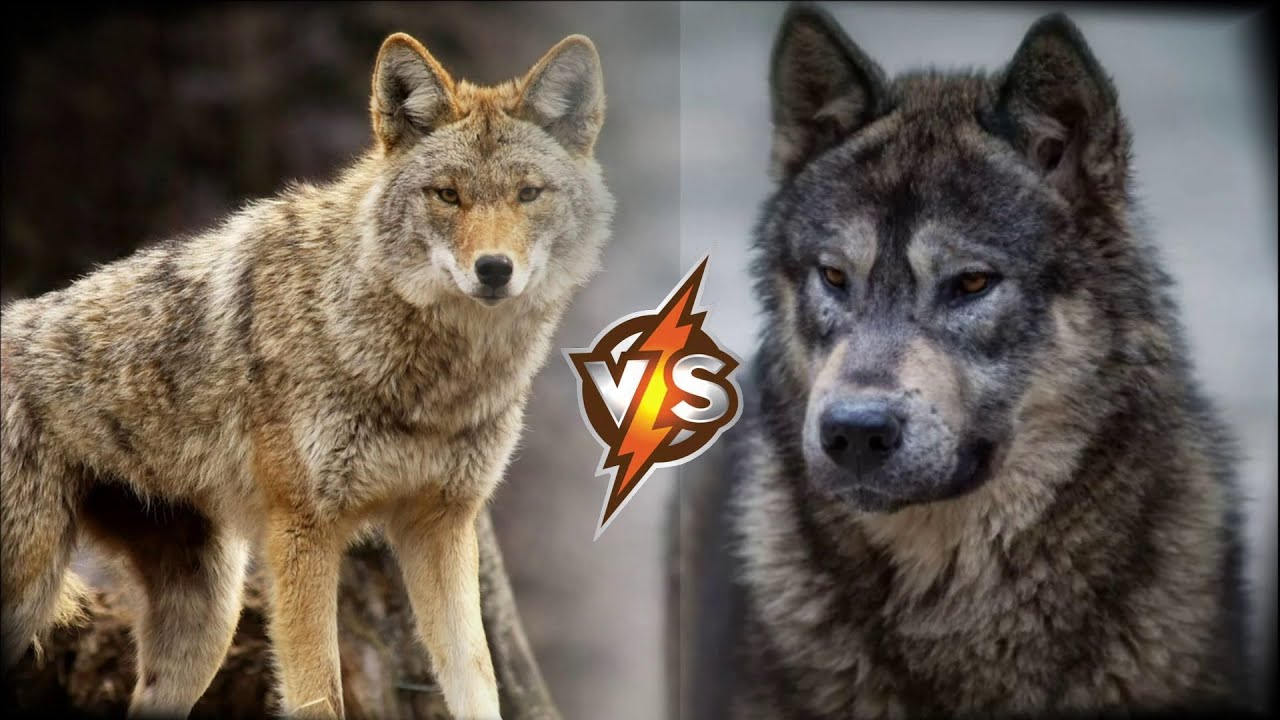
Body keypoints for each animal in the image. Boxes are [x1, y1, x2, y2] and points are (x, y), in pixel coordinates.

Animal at [1, 30, 612, 719]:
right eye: (447, 195)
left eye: (528, 194)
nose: (493, 269)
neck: (432, 387)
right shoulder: (304, 532)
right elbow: (320, 695)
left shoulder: (441, 526)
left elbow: (478, 682)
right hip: (32, 594)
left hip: (204, 628)